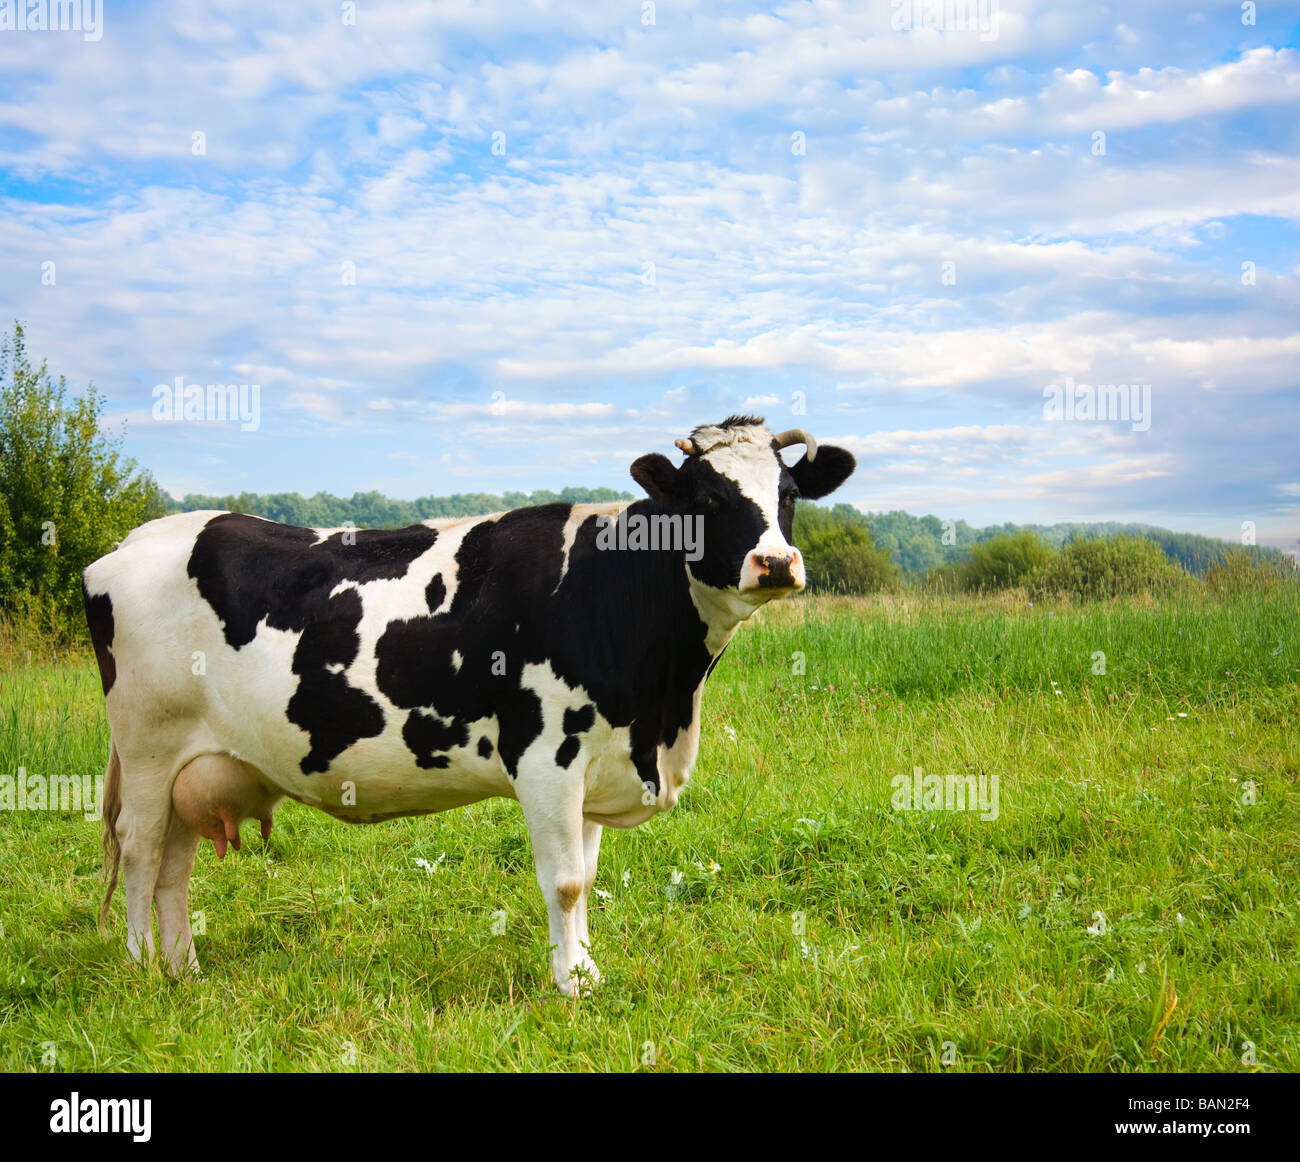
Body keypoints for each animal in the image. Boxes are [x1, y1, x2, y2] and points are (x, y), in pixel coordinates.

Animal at [83, 415, 855, 994]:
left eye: (789, 494)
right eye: (709, 499)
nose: (776, 562)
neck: (663, 712)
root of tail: (131, 541)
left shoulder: (598, 759)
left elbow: (587, 875)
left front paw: (585, 970)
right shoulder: (546, 755)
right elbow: (565, 881)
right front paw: (571, 985)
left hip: (194, 759)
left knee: (175, 863)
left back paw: (184, 968)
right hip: (148, 746)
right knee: (142, 850)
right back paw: (144, 968)